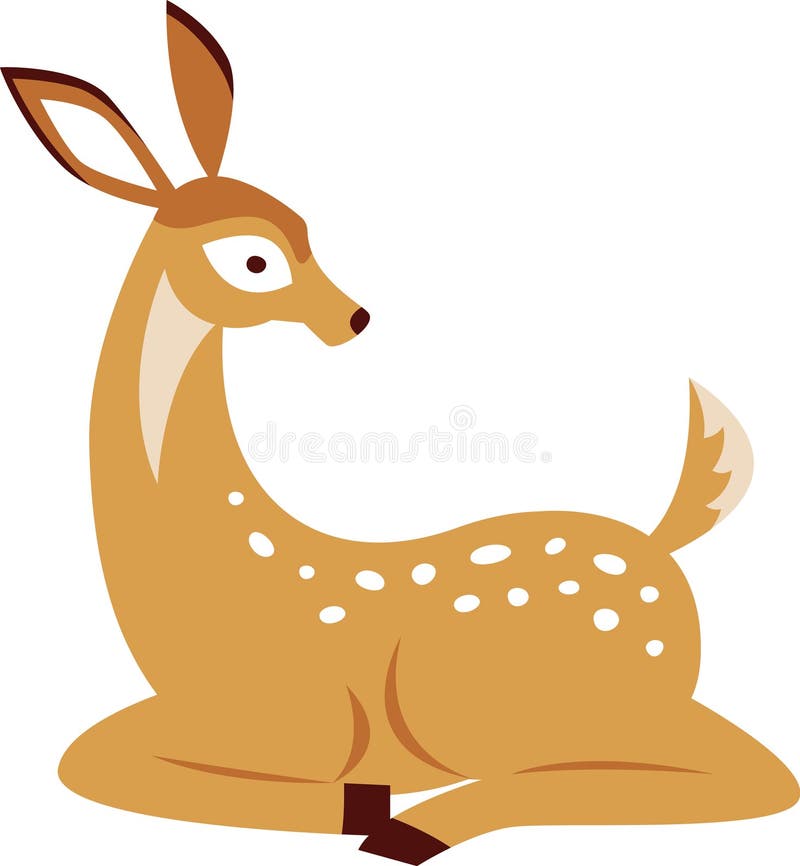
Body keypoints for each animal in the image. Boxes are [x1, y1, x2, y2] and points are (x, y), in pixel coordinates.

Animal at [3, 4, 797, 864]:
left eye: (304, 227)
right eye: (255, 259)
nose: (354, 317)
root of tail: (663, 548)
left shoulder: (301, 723)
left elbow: (106, 765)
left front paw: (361, 806)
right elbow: (87, 757)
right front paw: (358, 803)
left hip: (467, 692)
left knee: (739, 772)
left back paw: (417, 826)